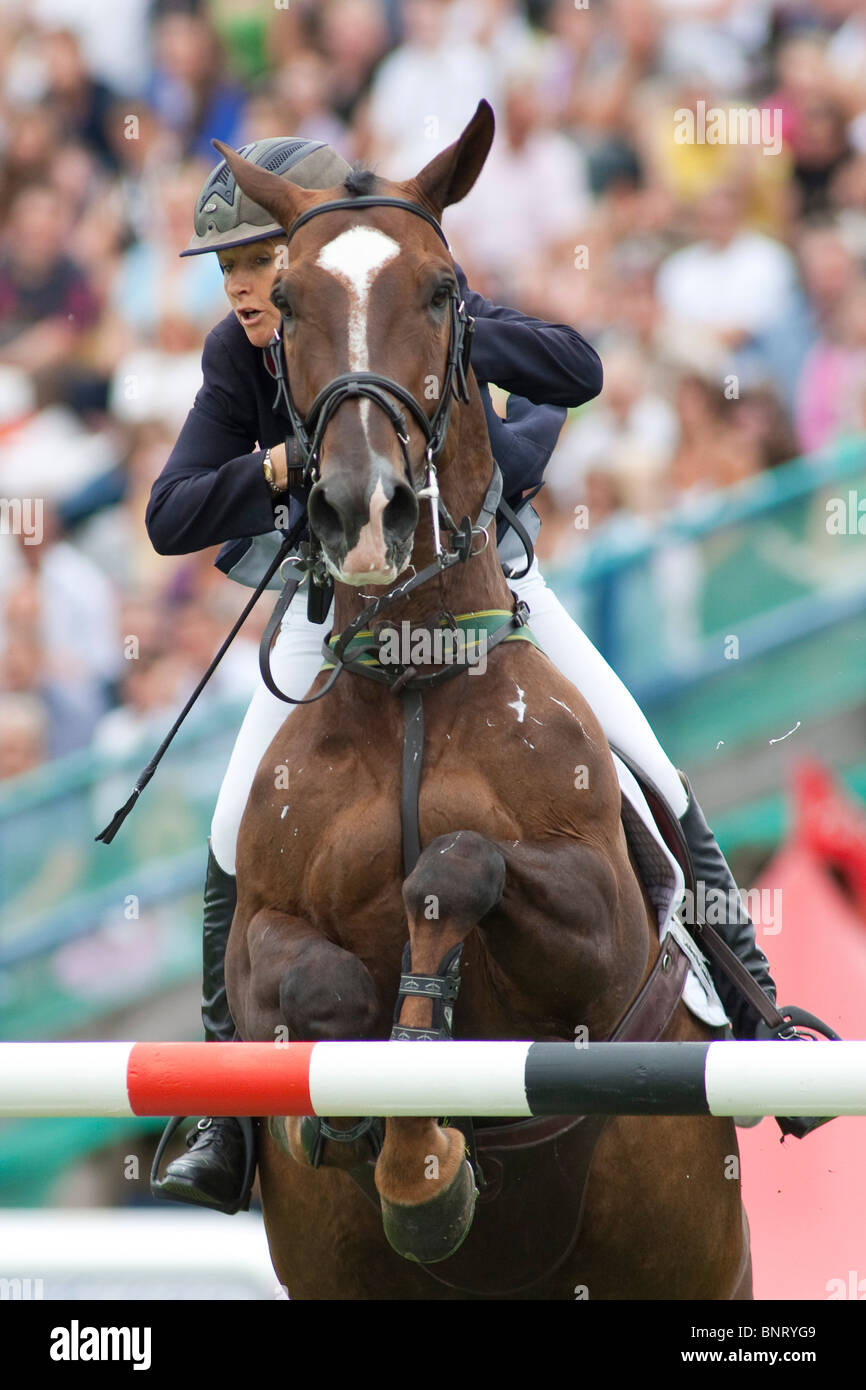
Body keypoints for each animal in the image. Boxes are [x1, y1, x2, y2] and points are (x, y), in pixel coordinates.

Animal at [217, 101, 752, 1300]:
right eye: (285, 303)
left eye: (441, 289)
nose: (358, 509)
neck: (413, 682)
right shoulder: (263, 935)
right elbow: (319, 987)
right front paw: (393, 1139)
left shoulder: (599, 928)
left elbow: (456, 865)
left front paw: (424, 1148)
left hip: (692, 1254)